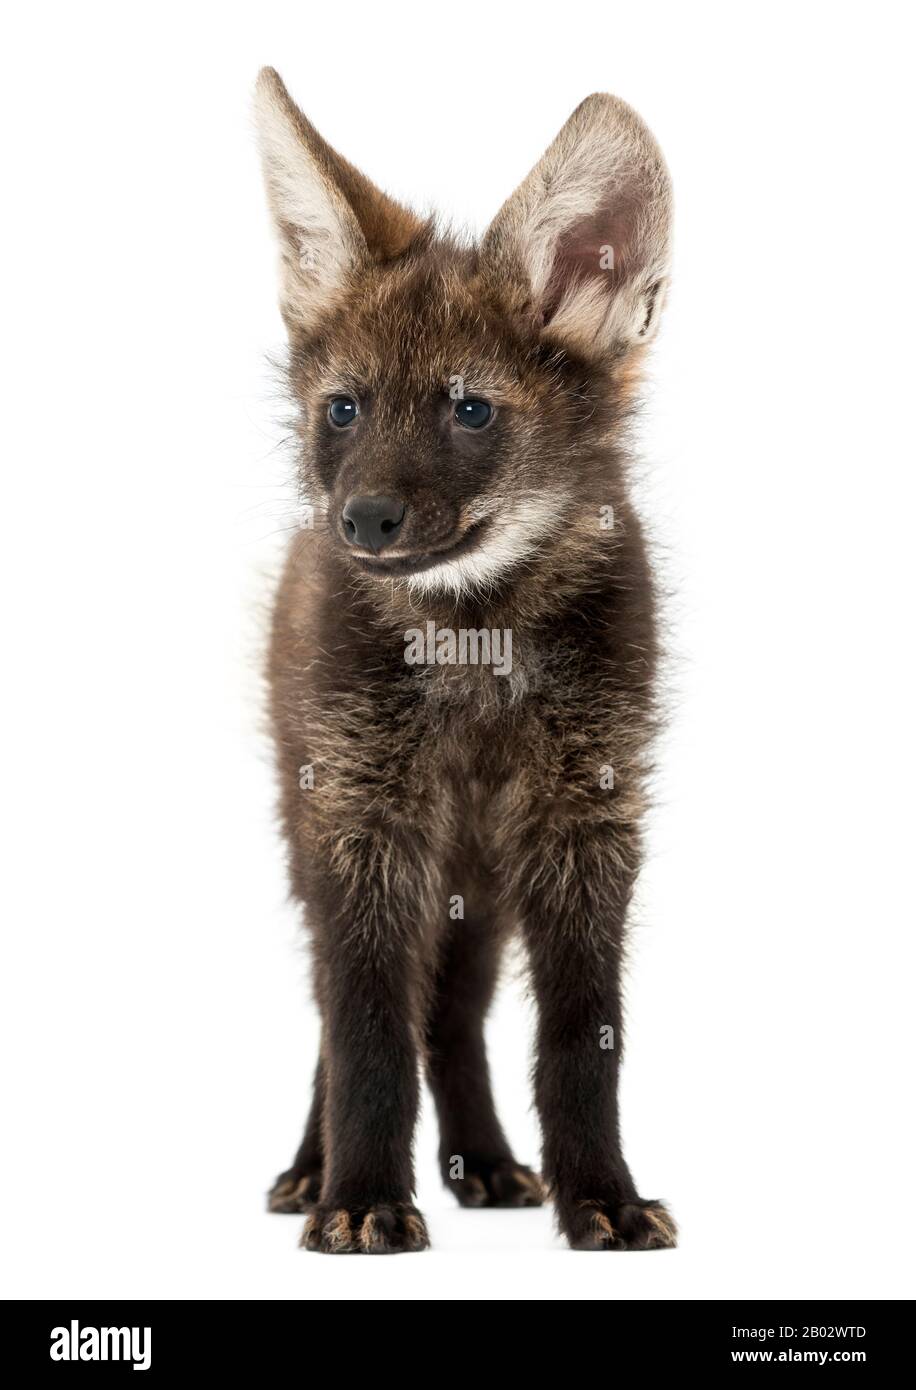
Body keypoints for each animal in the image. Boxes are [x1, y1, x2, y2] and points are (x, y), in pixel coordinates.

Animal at [255, 67, 676, 1253]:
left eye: (471, 409)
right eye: (344, 409)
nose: (361, 520)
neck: (474, 641)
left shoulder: (587, 818)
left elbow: (584, 1033)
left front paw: (602, 1196)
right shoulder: (365, 818)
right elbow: (363, 1026)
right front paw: (360, 1198)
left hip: (476, 881)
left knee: (450, 1010)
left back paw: (483, 1160)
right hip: (328, 829)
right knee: (350, 1005)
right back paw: (312, 1168)